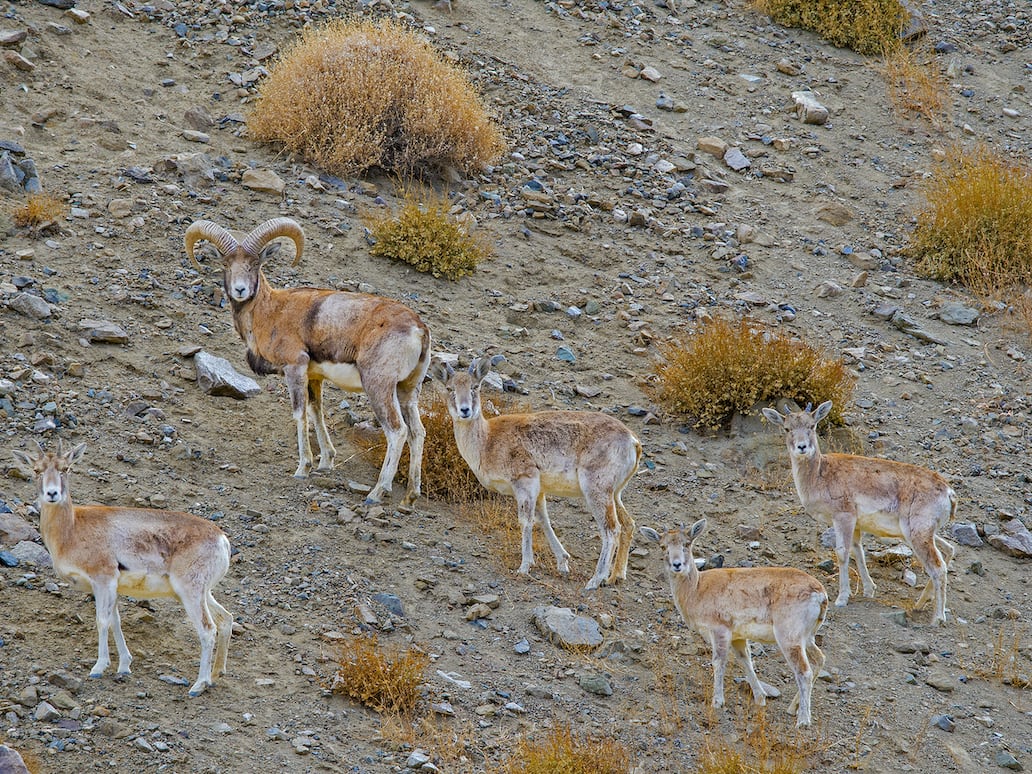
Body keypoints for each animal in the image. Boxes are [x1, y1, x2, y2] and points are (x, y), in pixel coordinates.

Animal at [11, 441, 232, 697]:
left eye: (65, 468)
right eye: (37, 470)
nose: (52, 494)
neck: (72, 528)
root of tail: (221, 540)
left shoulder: (103, 581)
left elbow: (102, 621)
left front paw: (98, 668)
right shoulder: (112, 589)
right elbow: (115, 621)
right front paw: (124, 667)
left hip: (191, 594)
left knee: (207, 630)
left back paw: (199, 685)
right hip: (202, 594)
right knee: (226, 619)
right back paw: (215, 676)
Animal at [184, 217, 430, 505]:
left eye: (255, 264)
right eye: (226, 264)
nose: (240, 290)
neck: (271, 311)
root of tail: (418, 330)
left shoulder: (295, 368)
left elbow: (299, 413)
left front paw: (303, 468)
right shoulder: (314, 377)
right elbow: (316, 412)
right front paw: (325, 463)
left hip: (379, 387)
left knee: (397, 431)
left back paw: (377, 492)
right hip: (406, 390)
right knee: (417, 433)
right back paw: (410, 497)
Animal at [429, 356, 641, 590]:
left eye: (475, 386)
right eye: (449, 388)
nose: (465, 410)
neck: (487, 440)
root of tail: (632, 441)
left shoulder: (525, 483)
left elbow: (526, 521)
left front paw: (524, 567)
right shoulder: (539, 491)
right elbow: (543, 521)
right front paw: (562, 563)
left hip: (597, 490)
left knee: (611, 529)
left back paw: (595, 580)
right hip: (615, 494)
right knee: (628, 524)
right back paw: (615, 576)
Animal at [640, 519, 828, 727]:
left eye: (687, 543)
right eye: (663, 546)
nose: (677, 564)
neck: (697, 589)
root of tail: (820, 594)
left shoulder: (720, 631)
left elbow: (718, 661)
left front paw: (717, 702)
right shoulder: (738, 638)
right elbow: (746, 661)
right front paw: (760, 699)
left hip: (789, 638)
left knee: (804, 671)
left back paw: (803, 721)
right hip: (807, 638)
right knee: (820, 659)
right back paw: (792, 709)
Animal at [762, 401, 957, 624]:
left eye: (812, 425)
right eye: (787, 428)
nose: (802, 447)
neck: (820, 474)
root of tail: (948, 492)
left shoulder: (843, 518)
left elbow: (842, 553)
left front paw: (842, 598)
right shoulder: (856, 525)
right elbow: (858, 552)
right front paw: (869, 590)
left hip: (918, 535)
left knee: (938, 567)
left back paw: (938, 618)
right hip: (921, 534)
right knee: (949, 550)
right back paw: (920, 604)